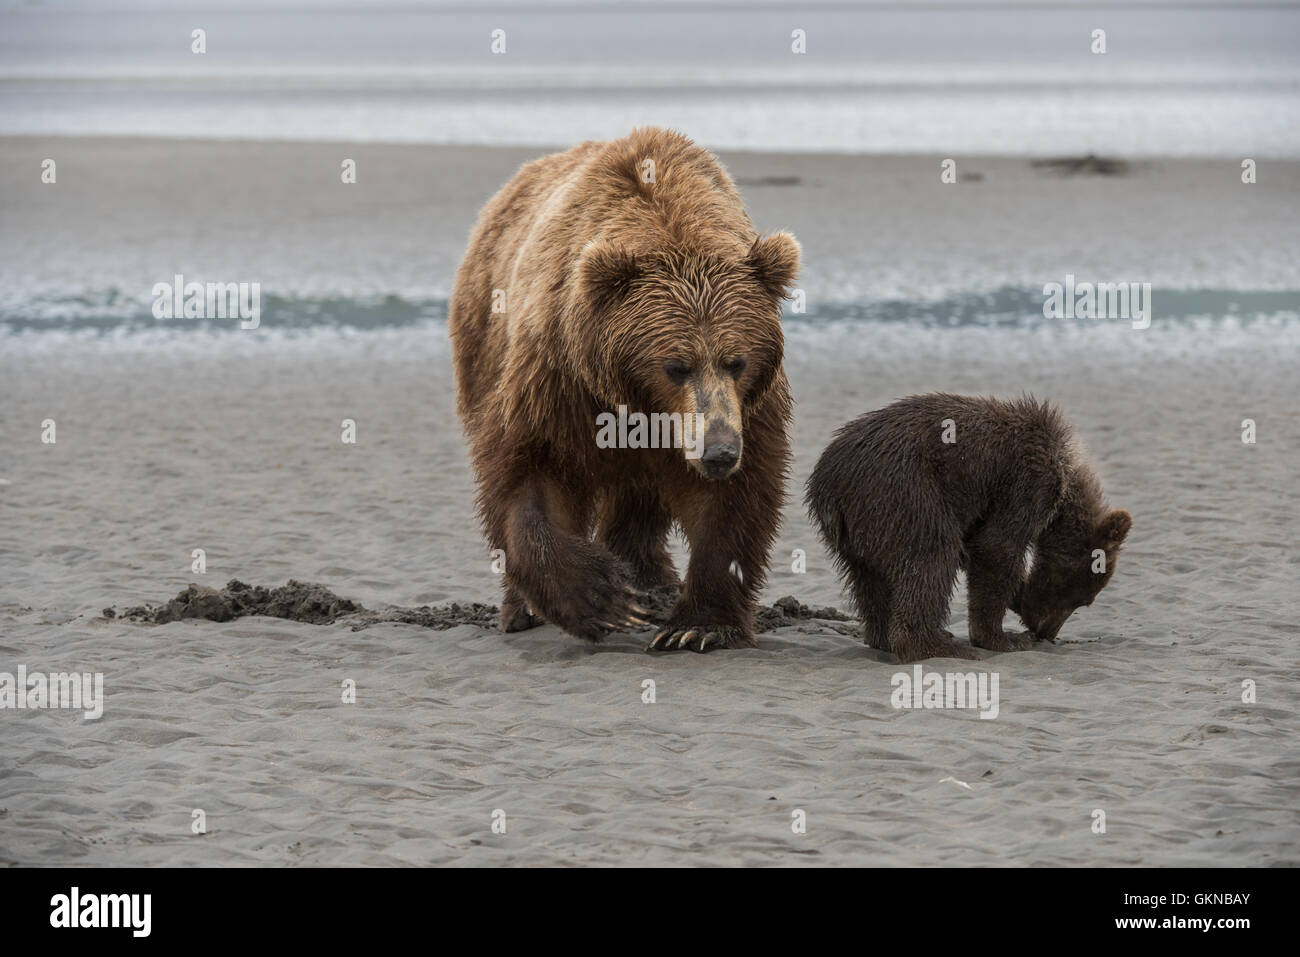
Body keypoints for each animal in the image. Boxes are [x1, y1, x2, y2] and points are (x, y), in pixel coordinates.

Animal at [449, 128, 800, 651]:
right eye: (675, 366)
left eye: (737, 361)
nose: (718, 451)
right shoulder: (560, 380)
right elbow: (532, 471)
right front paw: (601, 596)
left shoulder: (746, 410)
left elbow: (735, 499)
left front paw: (697, 625)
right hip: (482, 341)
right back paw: (524, 609)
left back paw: (652, 582)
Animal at [805, 394, 1131, 662]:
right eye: (1080, 598)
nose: (1045, 633)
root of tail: (829, 481)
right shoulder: (1024, 480)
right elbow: (997, 547)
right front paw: (1004, 637)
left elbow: (977, 549)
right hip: (904, 490)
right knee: (932, 555)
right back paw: (938, 645)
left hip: (860, 528)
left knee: (869, 580)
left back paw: (884, 637)